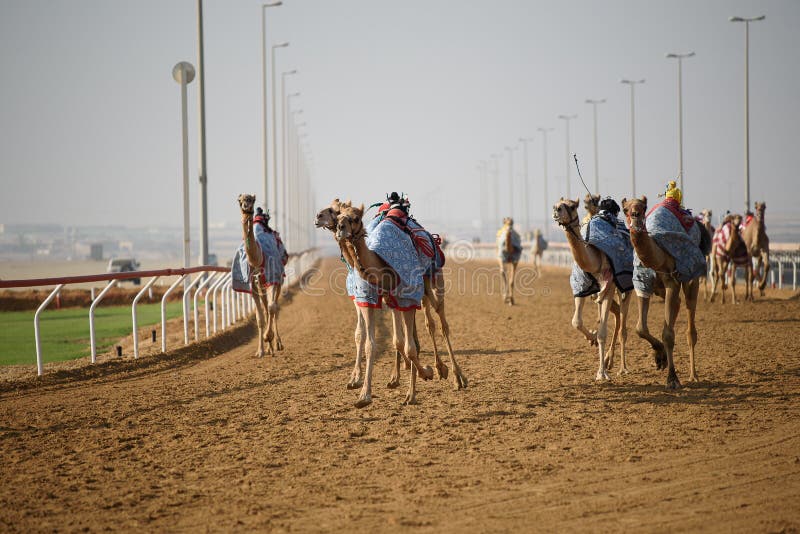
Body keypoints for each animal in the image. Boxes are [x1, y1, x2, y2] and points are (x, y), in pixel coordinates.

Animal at [237, 194, 283, 357]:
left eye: (251, 199)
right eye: (239, 200)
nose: (246, 206)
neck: (257, 259)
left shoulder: (273, 280)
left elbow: (272, 308)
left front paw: (268, 337)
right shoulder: (253, 287)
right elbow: (259, 317)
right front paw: (260, 351)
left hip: (278, 281)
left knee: (273, 307)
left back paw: (277, 344)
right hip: (261, 287)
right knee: (265, 309)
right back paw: (269, 349)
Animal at [553, 198, 631, 380]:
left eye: (572, 206)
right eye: (557, 204)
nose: (556, 210)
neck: (594, 260)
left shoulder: (609, 286)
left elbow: (603, 333)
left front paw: (601, 374)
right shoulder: (582, 288)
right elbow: (576, 321)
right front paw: (592, 338)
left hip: (624, 286)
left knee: (623, 323)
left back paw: (622, 368)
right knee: (616, 315)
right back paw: (609, 360)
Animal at [622, 196, 700, 388]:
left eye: (643, 207)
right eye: (625, 209)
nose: (635, 215)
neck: (657, 259)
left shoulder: (672, 282)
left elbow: (668, 335)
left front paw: (672, 379)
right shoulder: (642, 284)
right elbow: (640, 328)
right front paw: (660, 357)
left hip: (691, 278)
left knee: (690, 324)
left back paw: (693, 375)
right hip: (661, 291)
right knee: (677, 305)